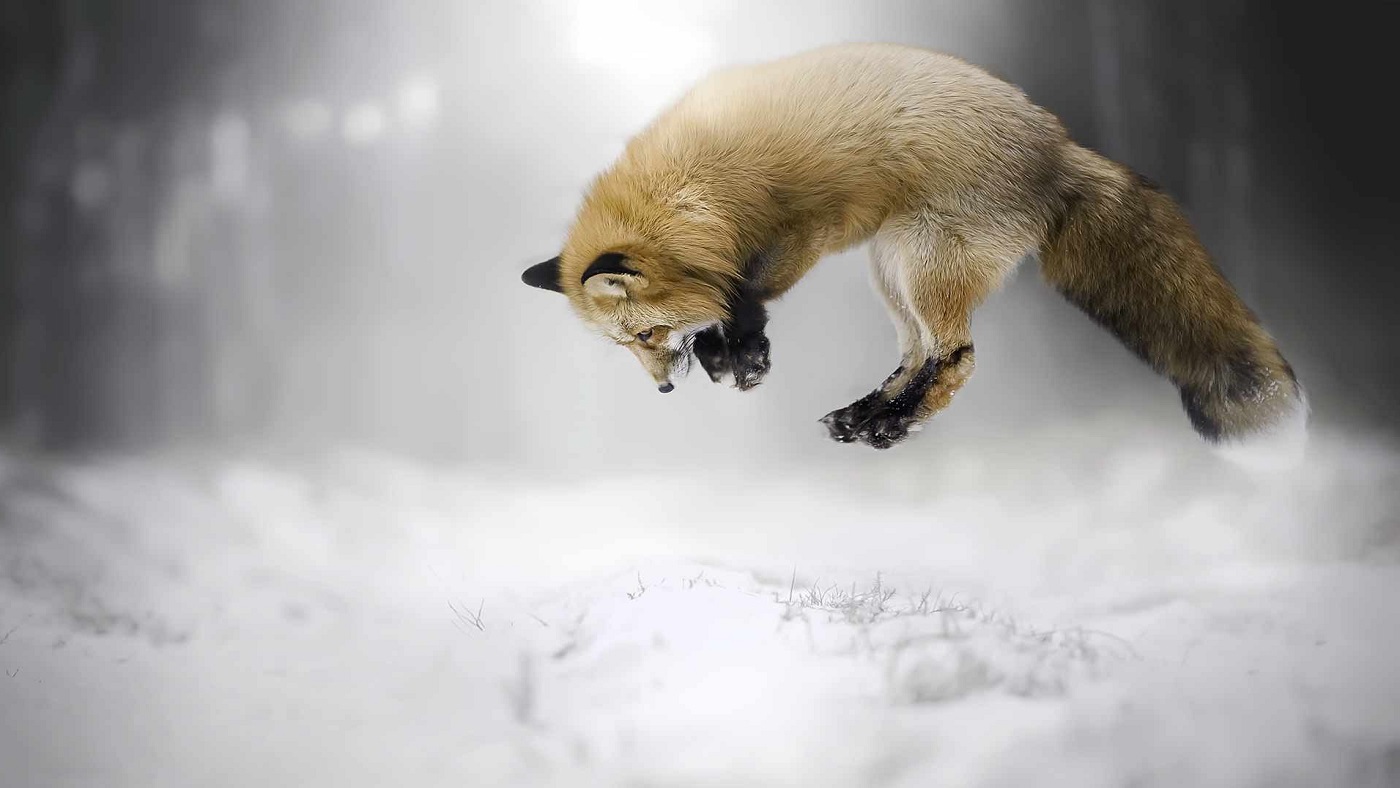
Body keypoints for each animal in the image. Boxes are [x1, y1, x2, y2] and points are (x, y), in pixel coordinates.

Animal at [520, 43, 1307, 454]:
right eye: (626, 347)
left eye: (644, 334)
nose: (660, 390)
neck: (703, 190)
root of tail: (1057, 147)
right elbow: (730, 299)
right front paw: (727, 352)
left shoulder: (803, 229)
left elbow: (747, 292)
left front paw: (739, 352)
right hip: (893, 268)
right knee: (917, 353)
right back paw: (869, 416)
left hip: (922, 260)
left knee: (957, 356)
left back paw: (893, 422)